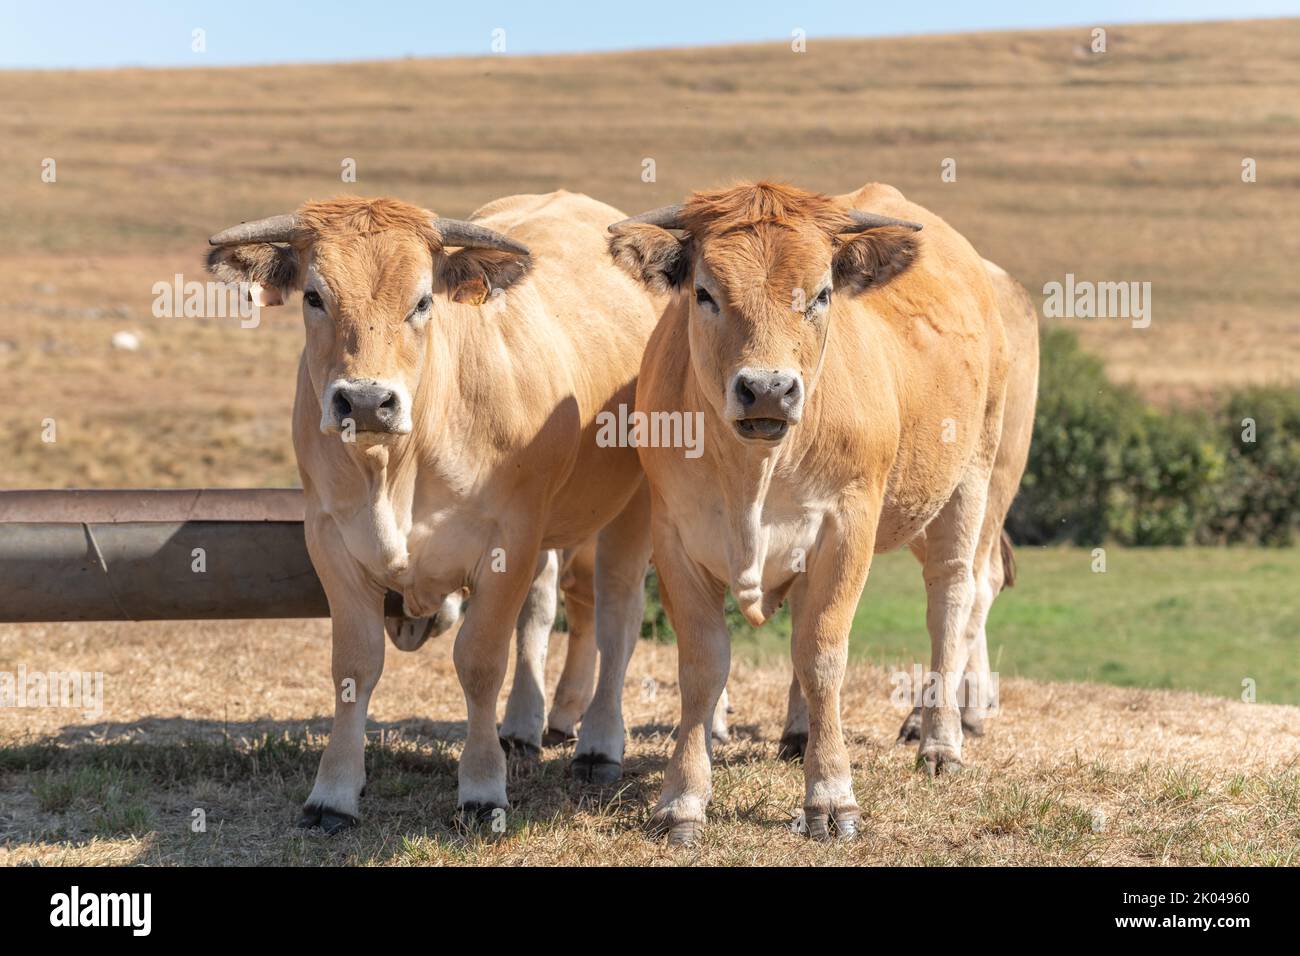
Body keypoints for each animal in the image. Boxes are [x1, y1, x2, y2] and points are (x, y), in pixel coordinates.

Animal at [206, 191, 662, 830]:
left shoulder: (507, 542)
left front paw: (482, 786)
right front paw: (334, 791)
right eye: (314, 296)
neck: (394, 465)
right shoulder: (331, 541)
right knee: (550, 607)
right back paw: (529, 724)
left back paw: (599, 742)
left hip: (633, 506)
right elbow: (354, 666)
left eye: (422, 301)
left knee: (616, 615)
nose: (365, 401)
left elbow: (480, 661)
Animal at [607, 181, 1038, 845]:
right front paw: (682, 799)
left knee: (956, 596)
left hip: (977, 482)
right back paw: (802, 730)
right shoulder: (675, 534)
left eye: (821, 295)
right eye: (704, 293)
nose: (766, 389)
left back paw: (941, 736)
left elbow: (822, 652)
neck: (755, 470)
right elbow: (704, 663)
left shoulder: (846, 526)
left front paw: (831, 796)